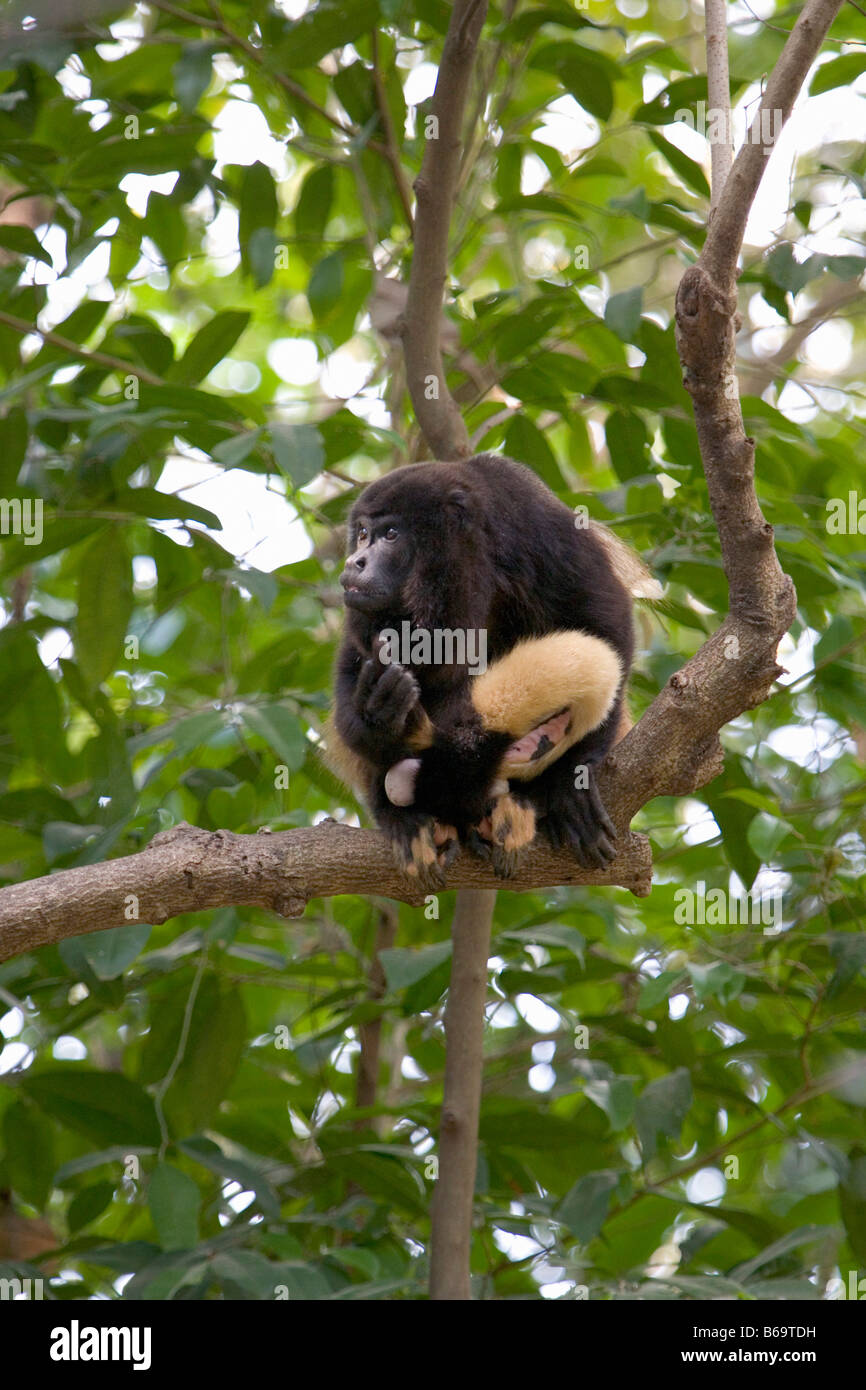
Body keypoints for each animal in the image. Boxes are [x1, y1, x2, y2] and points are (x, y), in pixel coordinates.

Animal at [325, 452, 655, 888]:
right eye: (362, 534)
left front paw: (570, 779)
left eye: (391, 534)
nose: (354, 561)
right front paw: (380, 716)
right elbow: (351, 680)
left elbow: (606, 624)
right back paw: (409, 817)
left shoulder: (536, 528)